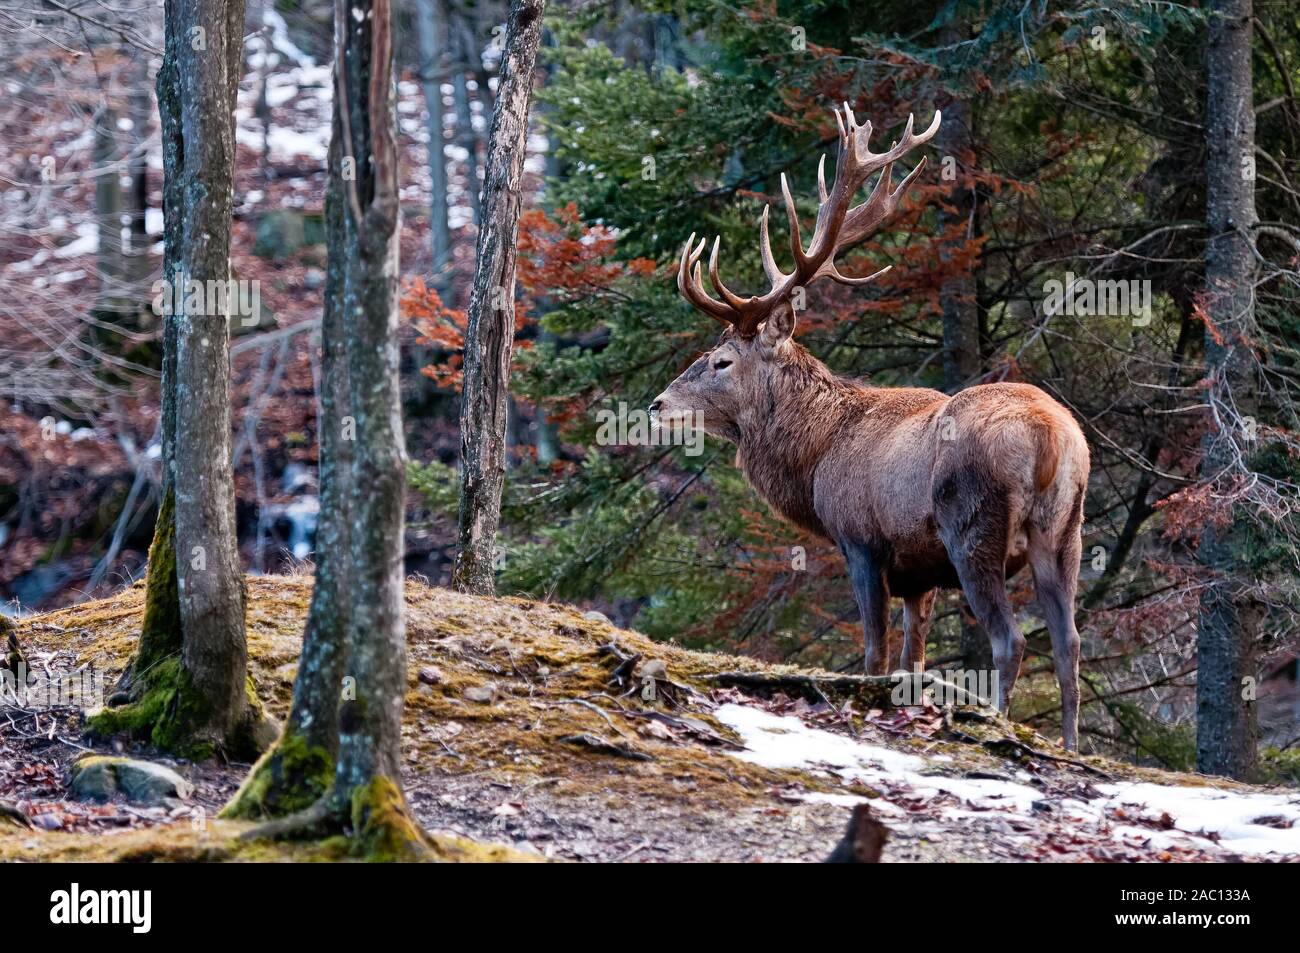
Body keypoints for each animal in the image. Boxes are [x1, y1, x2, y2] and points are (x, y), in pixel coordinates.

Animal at [649, 105, 1090, 749]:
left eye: (722, 360)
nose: (657, 403)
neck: (815, 458)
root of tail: (1051, 437)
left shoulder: (861, 542)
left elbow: (874, 655)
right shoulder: (919, 574)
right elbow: (912, 660)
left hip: (973, 525)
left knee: (1010, 640)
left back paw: (997, 725)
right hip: (1066, 529)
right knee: (1069, 642)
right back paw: (1070, 745)